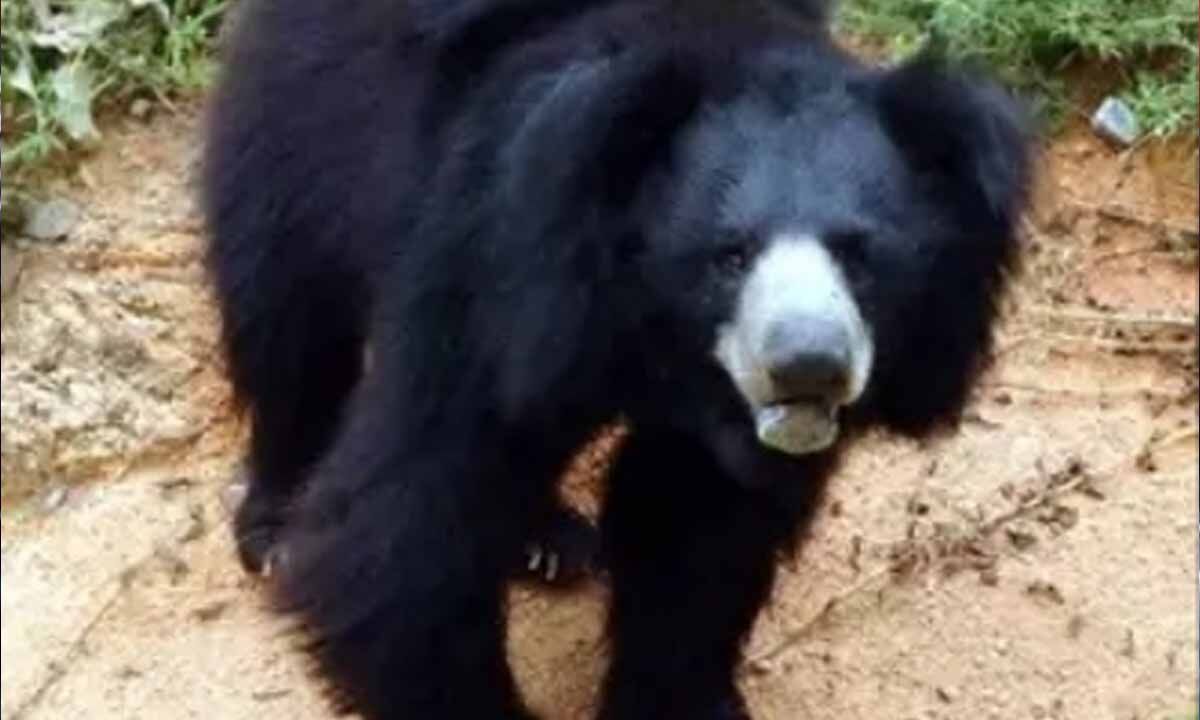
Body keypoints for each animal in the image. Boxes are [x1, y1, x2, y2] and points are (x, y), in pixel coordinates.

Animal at [201, 0, 1033, 717]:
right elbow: (407, 521)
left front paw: (680, 699)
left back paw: (549, 541)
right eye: (729, 255)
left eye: (861, 256)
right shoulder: (495, 263)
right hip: (301, 122)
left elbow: (696, 528)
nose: (808, 365)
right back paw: (276, 527)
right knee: (289, 319)